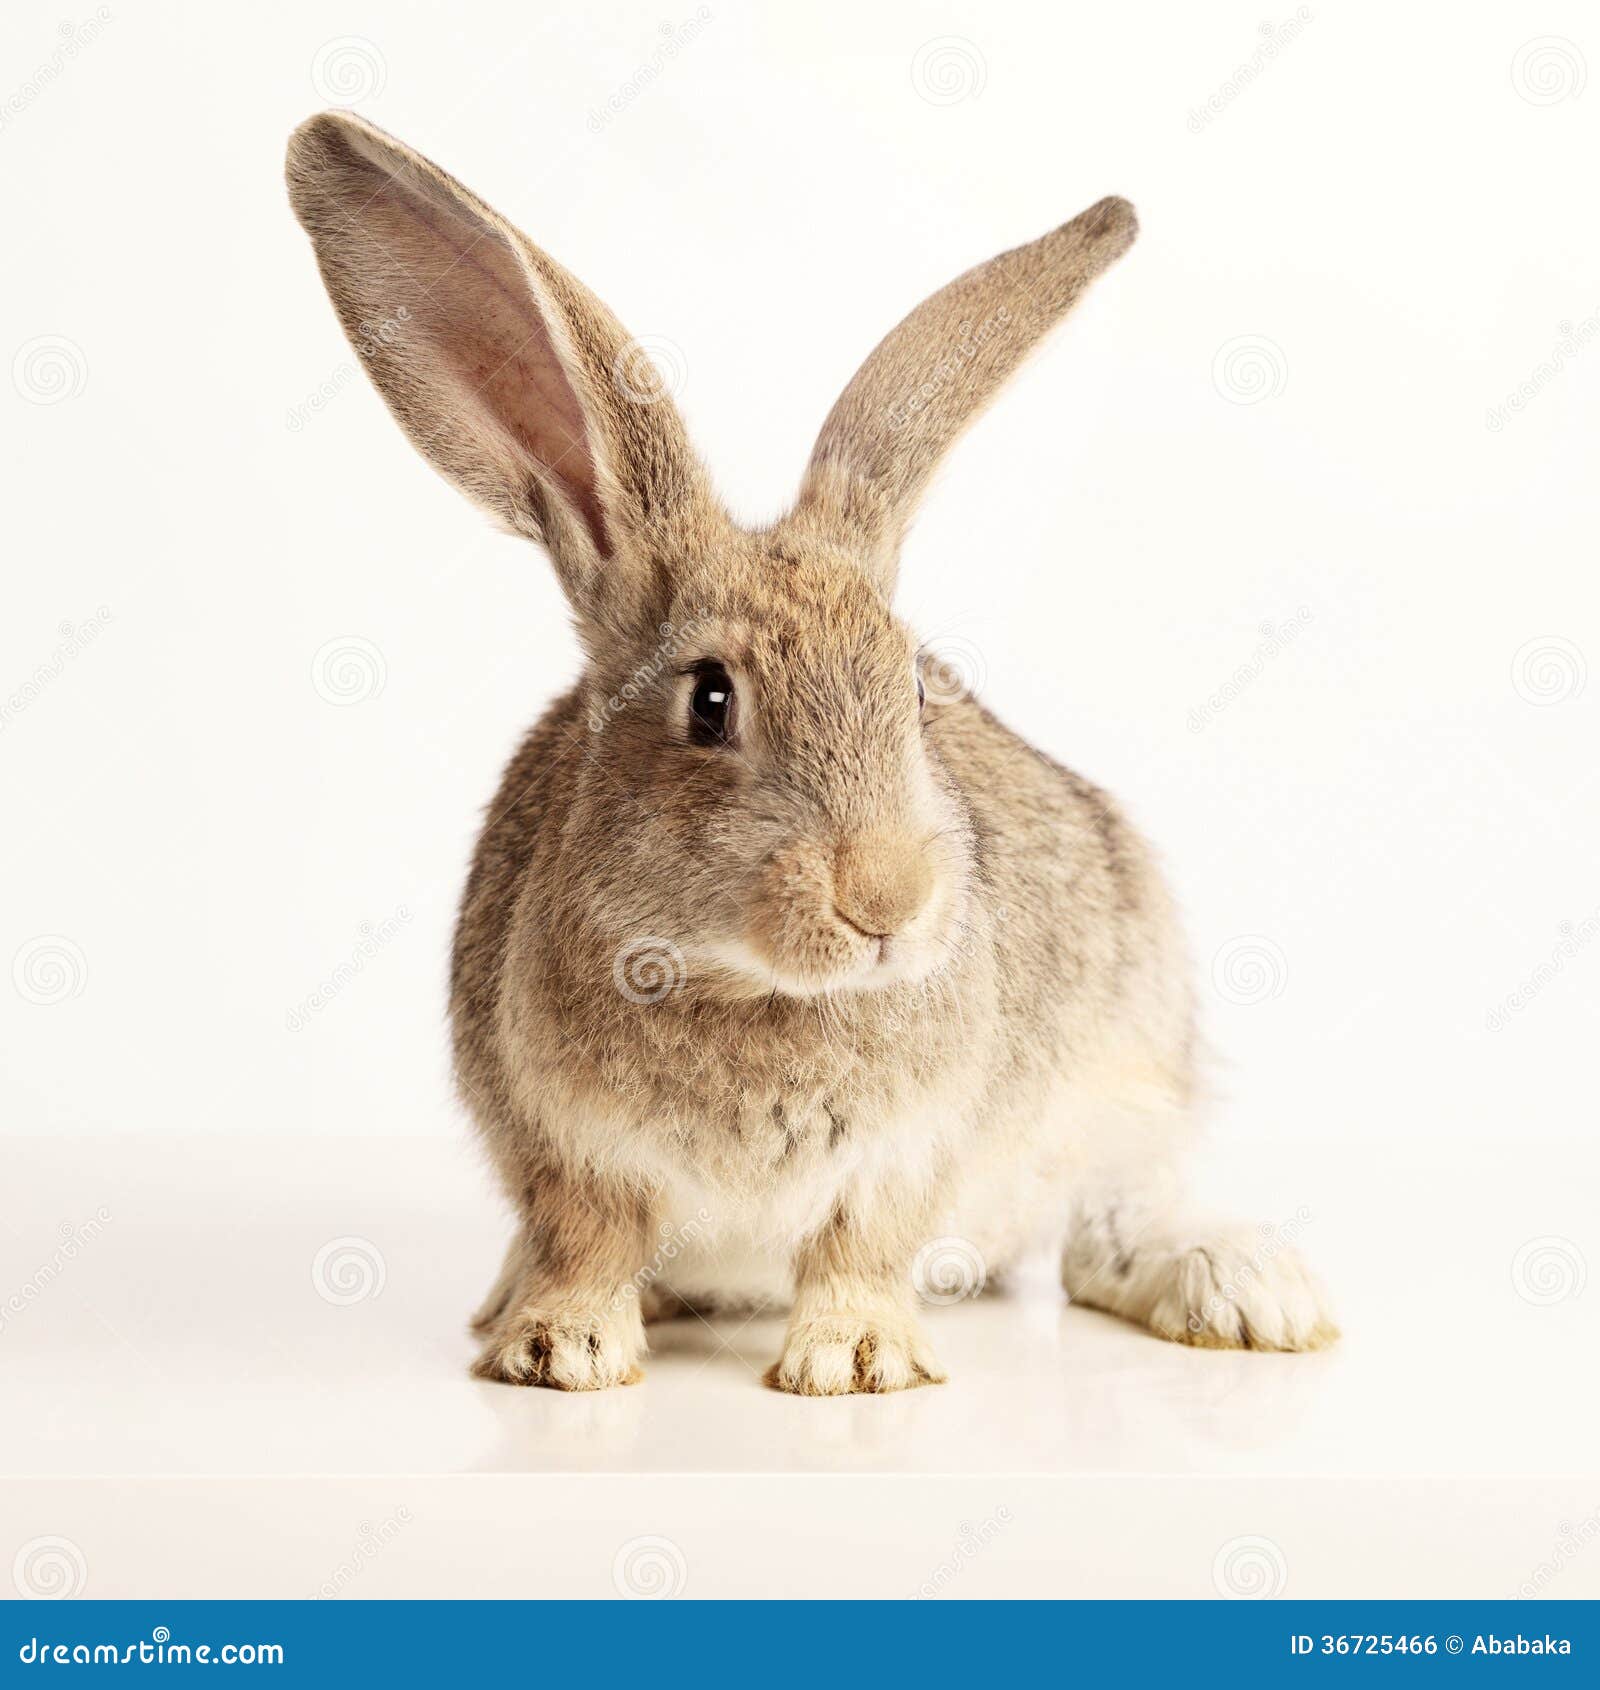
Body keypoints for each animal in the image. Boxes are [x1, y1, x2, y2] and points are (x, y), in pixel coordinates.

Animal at [285, 111, 1338, 1394]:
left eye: (917, 693)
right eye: (710, 701)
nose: (887, 897)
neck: (752, 985)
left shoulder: (909, 1153)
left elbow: (859, 1246)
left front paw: (856, 1359)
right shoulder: (565, 1154)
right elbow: (588, 1240)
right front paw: (557, 1347)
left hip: (1129, 1070)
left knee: (1108, 1232)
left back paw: (1248, 1289)